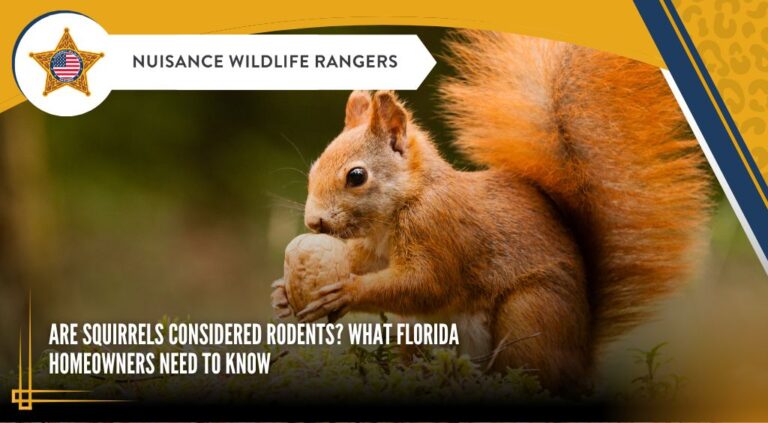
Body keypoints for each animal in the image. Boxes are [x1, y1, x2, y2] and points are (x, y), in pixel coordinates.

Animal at [271, 30, 711, 394]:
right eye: (314, 167)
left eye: (356, 176)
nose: (313, 222)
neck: (402, 206)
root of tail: (582, 354)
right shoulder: (373, 248)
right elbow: (365, 263)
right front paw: (281, 293)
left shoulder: (439, 229)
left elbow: (427, 284)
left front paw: (346, 292)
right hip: (417, 334)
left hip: (531, 313)